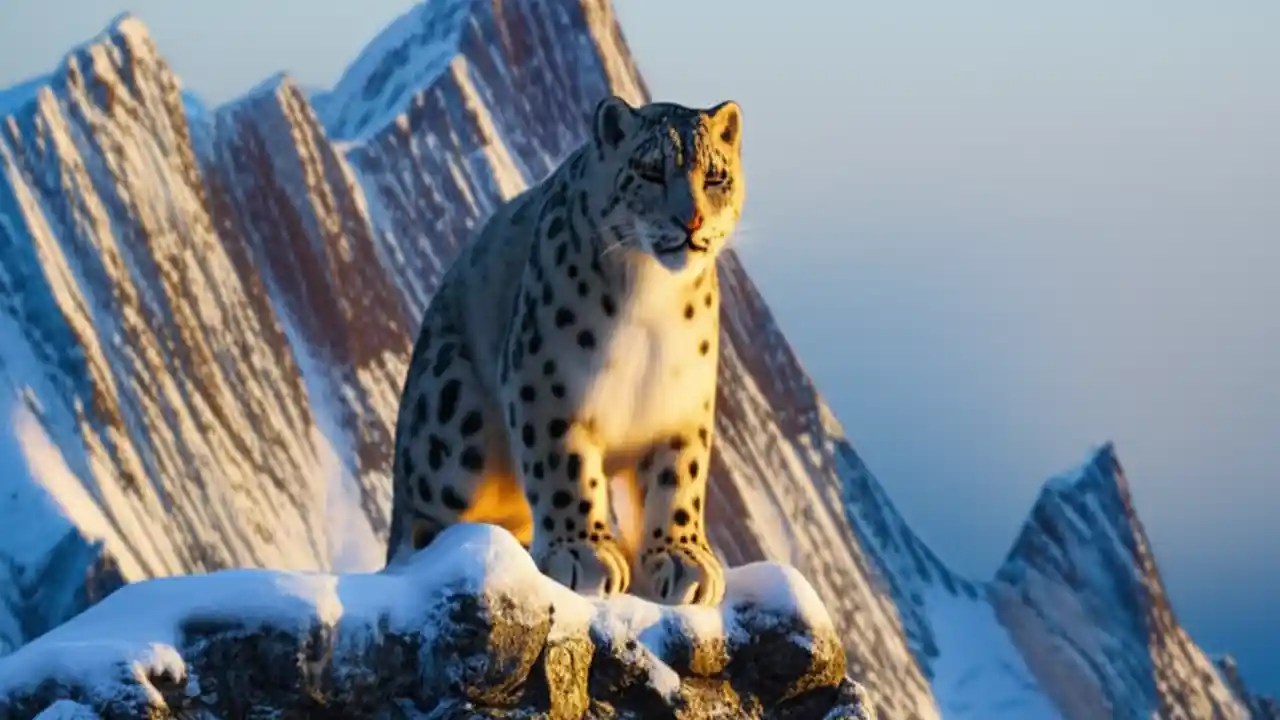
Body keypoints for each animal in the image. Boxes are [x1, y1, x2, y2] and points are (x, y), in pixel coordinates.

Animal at [386, 95, 744, 606]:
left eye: (716, 177)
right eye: (651, 171)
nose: (690, 220)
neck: (653, 299)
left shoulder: (680, 403)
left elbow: (679, 479)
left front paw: (683, 560)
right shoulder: (549, 383)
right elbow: (564, 466)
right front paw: (585, 555)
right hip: (452, 425)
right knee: (418, 524)